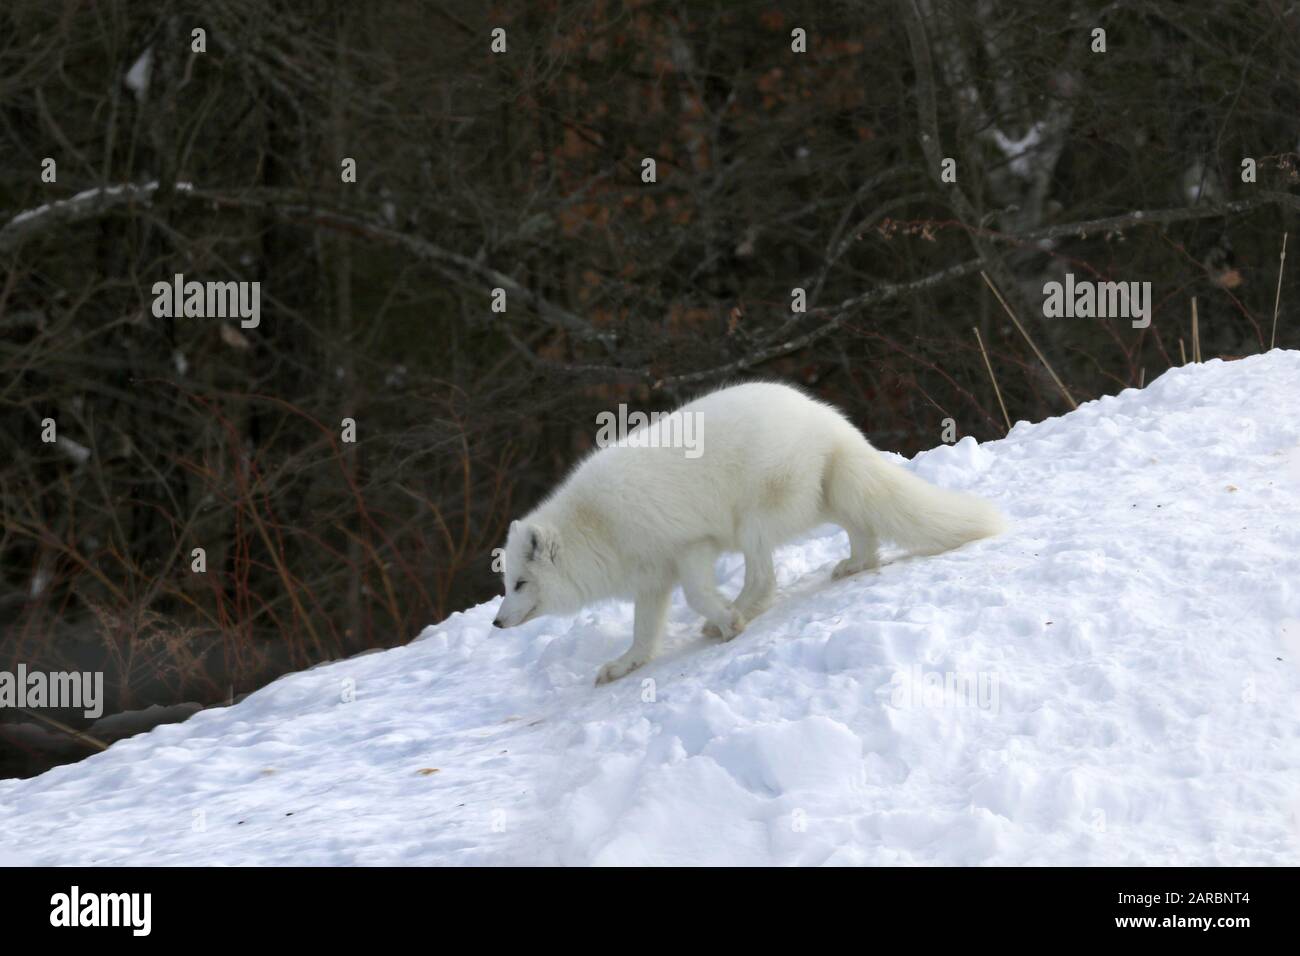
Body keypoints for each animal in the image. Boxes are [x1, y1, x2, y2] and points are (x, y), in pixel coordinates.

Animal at [494, 382, 1006, 684]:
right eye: (505, 584)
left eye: (520, 583)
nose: (496, 623)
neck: (596, 526)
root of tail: (828, 418)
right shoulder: (652, 580)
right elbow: (643, 635)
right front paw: (625, 665)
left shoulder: (690, 548)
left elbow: (698, 595)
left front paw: (727, 622)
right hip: (816, 504)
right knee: (860, 528)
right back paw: (855, 565)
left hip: (753, 523)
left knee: (764, 577)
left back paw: (742, 612)